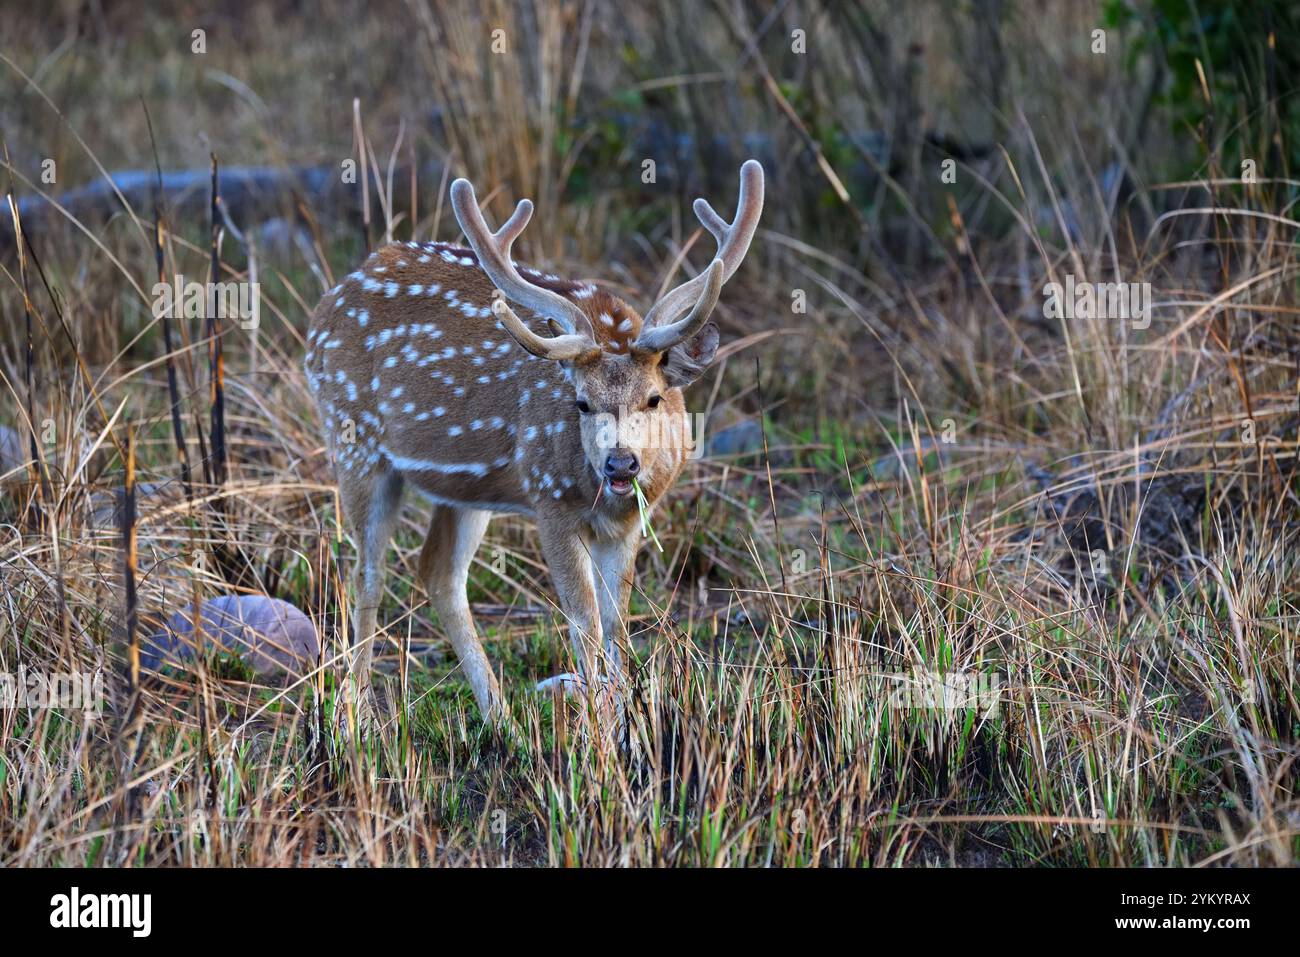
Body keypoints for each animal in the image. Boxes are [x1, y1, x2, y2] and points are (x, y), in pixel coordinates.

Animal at [304, 160, 763, 727]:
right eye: (581, 402)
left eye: (654, 398)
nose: (620, 464)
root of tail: (325, 307)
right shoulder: (551, 502)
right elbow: (586, 623)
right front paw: (602, 730)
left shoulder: (632, 521)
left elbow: (617, 623)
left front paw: (626, 721)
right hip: (353, 438)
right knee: (366, 575)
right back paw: (357, 721)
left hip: (464, 489)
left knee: (439, 572)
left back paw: (500, 719)